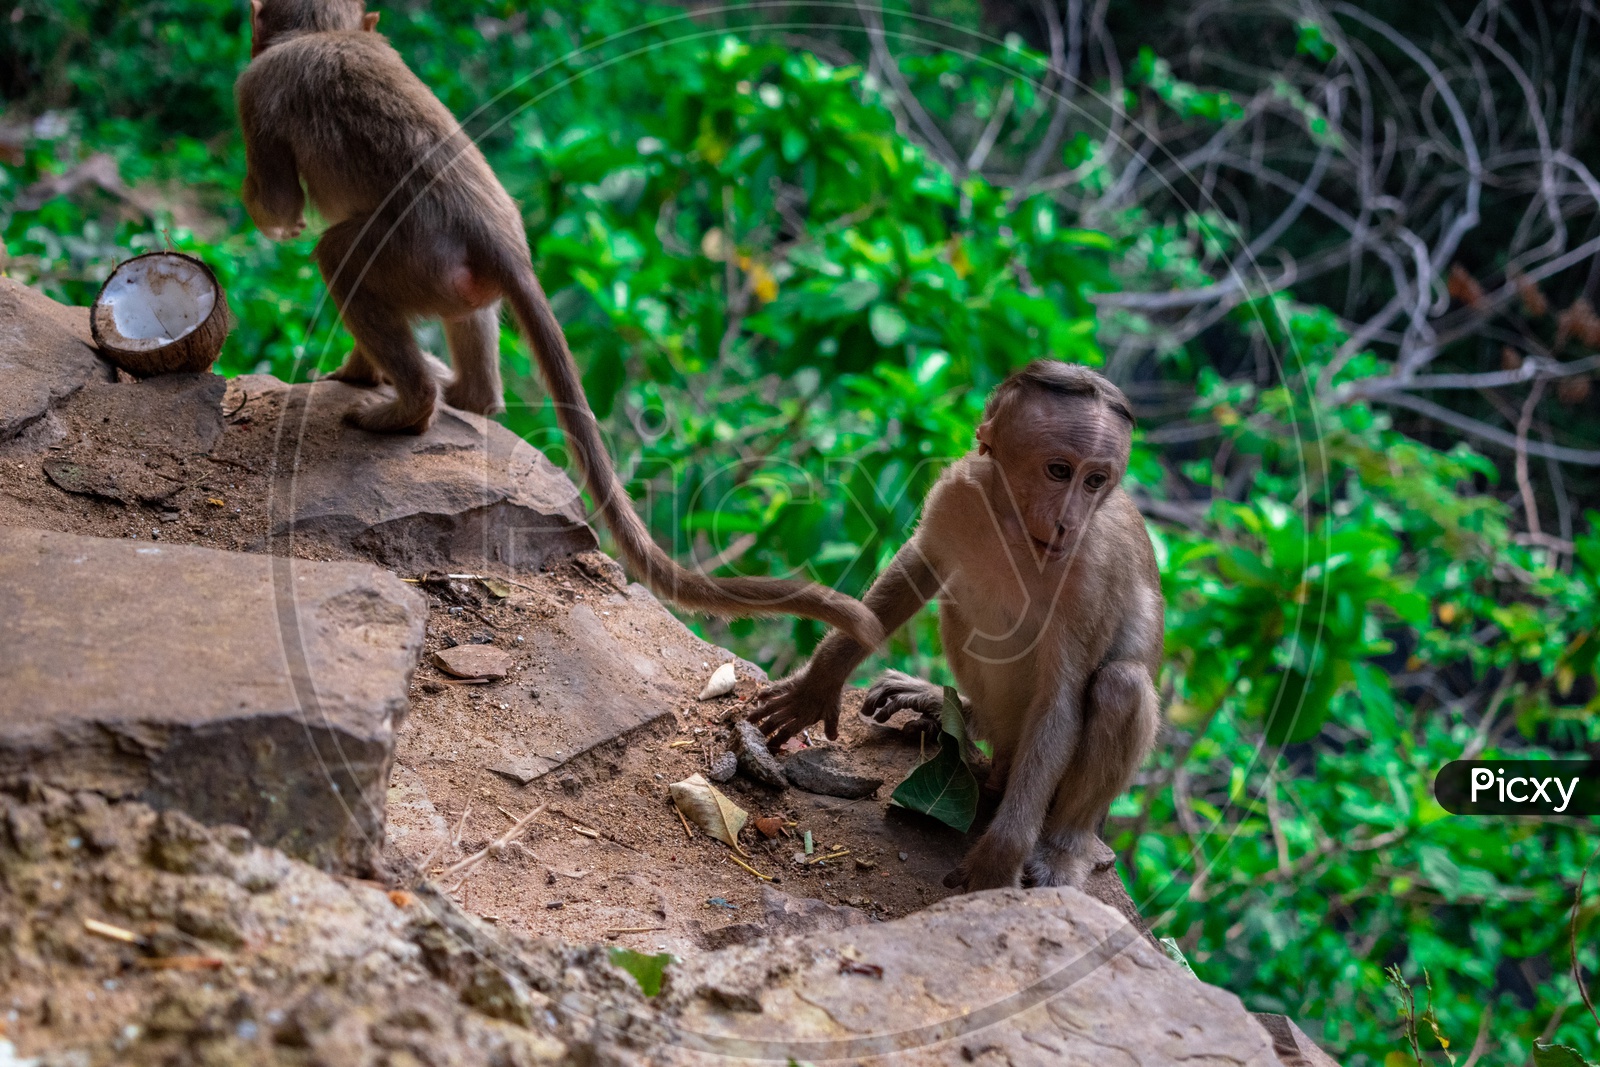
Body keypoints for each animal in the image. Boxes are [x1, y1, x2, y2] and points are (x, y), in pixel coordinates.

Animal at [234, 0, 882, 648]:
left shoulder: (256, 86)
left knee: (338, 255)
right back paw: (466, 396)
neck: (323, 35)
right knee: (458, 313)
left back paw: (410, 405)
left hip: (418, 257)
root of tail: (503, 242)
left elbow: (282, 208)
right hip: (455, 275)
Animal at [750, 361, 1164, 890]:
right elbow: (918, 566)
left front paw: (1000, 858)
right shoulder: (959, 490)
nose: (1069, 521)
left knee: (1120, 685)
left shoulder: (1093, 566)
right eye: (1059, 470)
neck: (1016, 526)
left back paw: (1063, 845)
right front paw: (817, 684)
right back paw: (956, 710)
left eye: (1095, 480)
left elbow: (1062, 701)